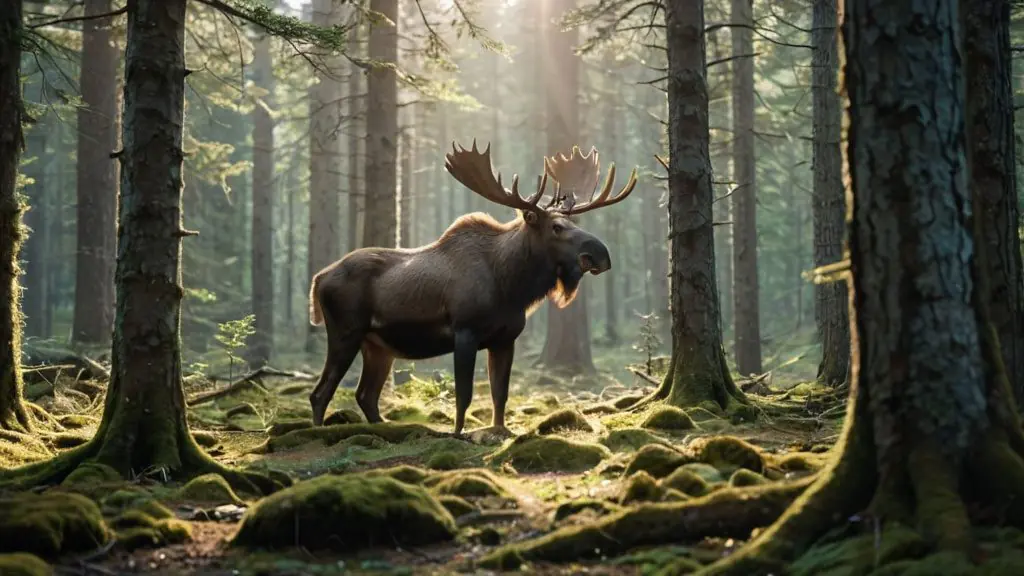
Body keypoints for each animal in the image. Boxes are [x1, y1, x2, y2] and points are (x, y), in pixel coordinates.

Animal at [307, 139, 638, 437]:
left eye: (574, 222)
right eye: (556, 227)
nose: (601, 255)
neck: (511, 287)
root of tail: (318, 279)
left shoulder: (505, 339)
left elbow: (499, 394)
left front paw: (500, 431)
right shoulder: (465, 332)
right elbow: (464, 394)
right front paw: (457, 434)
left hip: (378, 346)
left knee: (366, 396)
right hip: (346, 332)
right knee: (321, 392)